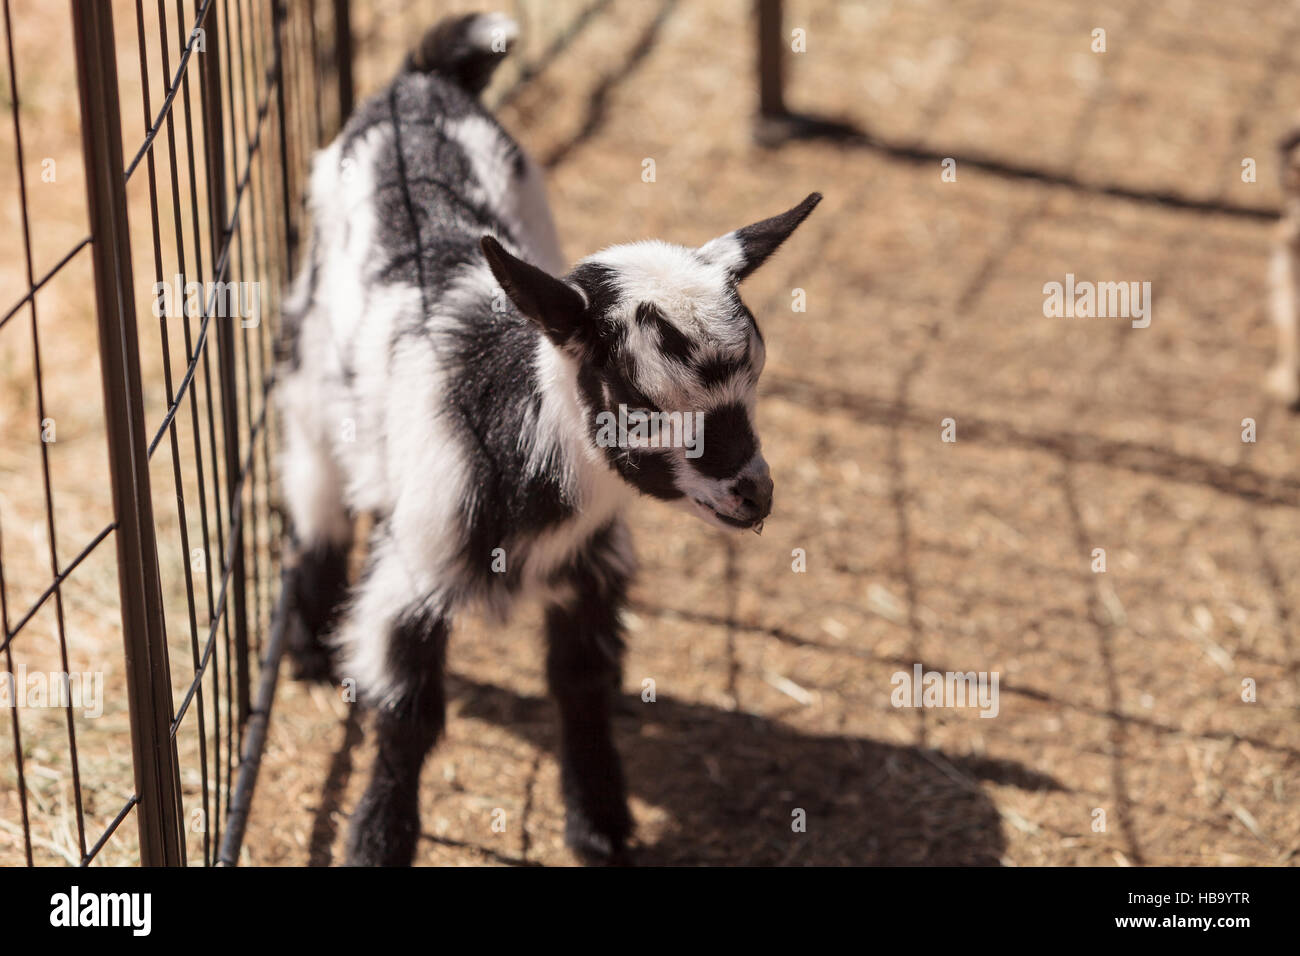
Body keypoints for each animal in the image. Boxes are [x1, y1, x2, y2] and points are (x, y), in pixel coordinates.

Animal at [275, 11, 821, 866]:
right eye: (640, 398)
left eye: (756, 380)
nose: (754, 494)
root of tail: (421, 78)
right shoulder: (410, 574)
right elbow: (407, 719)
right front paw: (376, 840)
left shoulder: (592, 566)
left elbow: (581, 687)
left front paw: (600, 825)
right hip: (310, 345)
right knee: (312, 477)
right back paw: (305, 638)